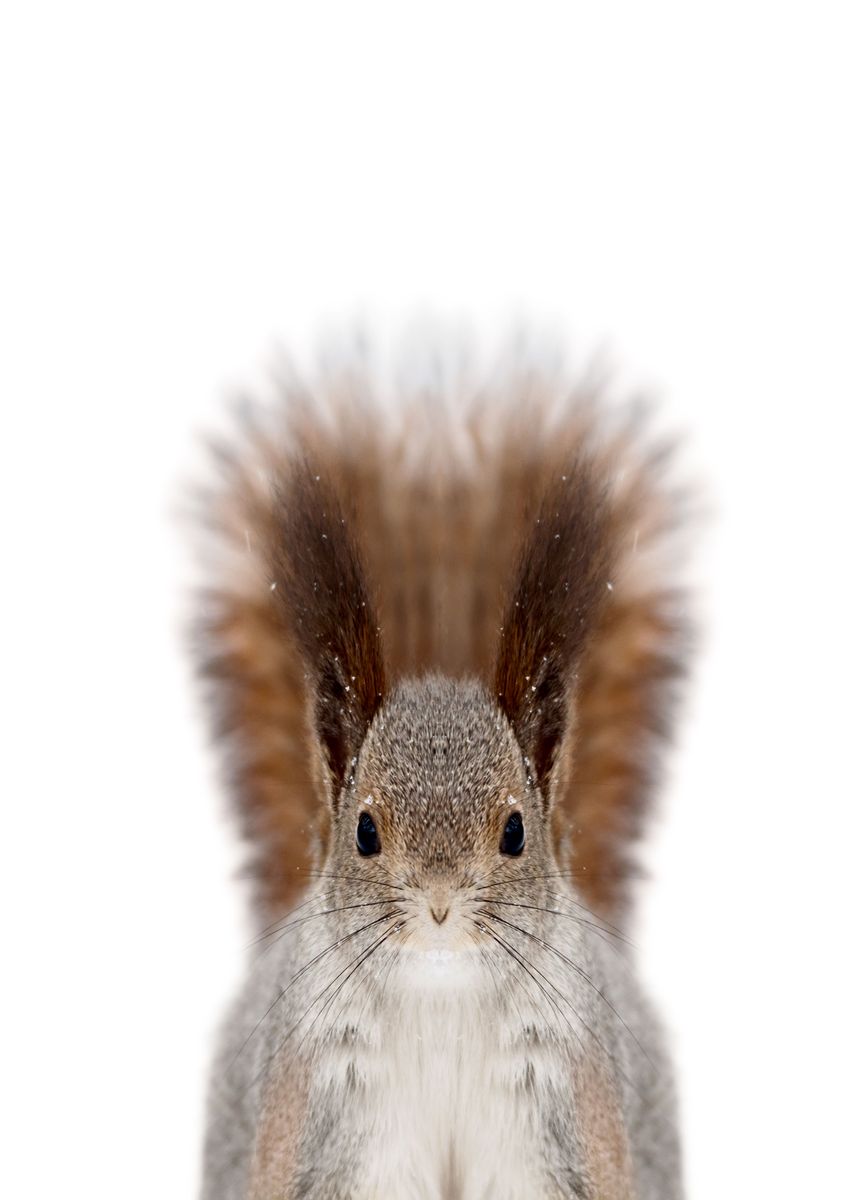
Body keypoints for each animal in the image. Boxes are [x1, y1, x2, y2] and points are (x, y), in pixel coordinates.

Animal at [192, 349, 691, 1200]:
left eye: (516, 831)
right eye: (363, 832)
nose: (437, 904)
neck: (441, 993)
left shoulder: (569, 1119)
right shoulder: (317, 1122)